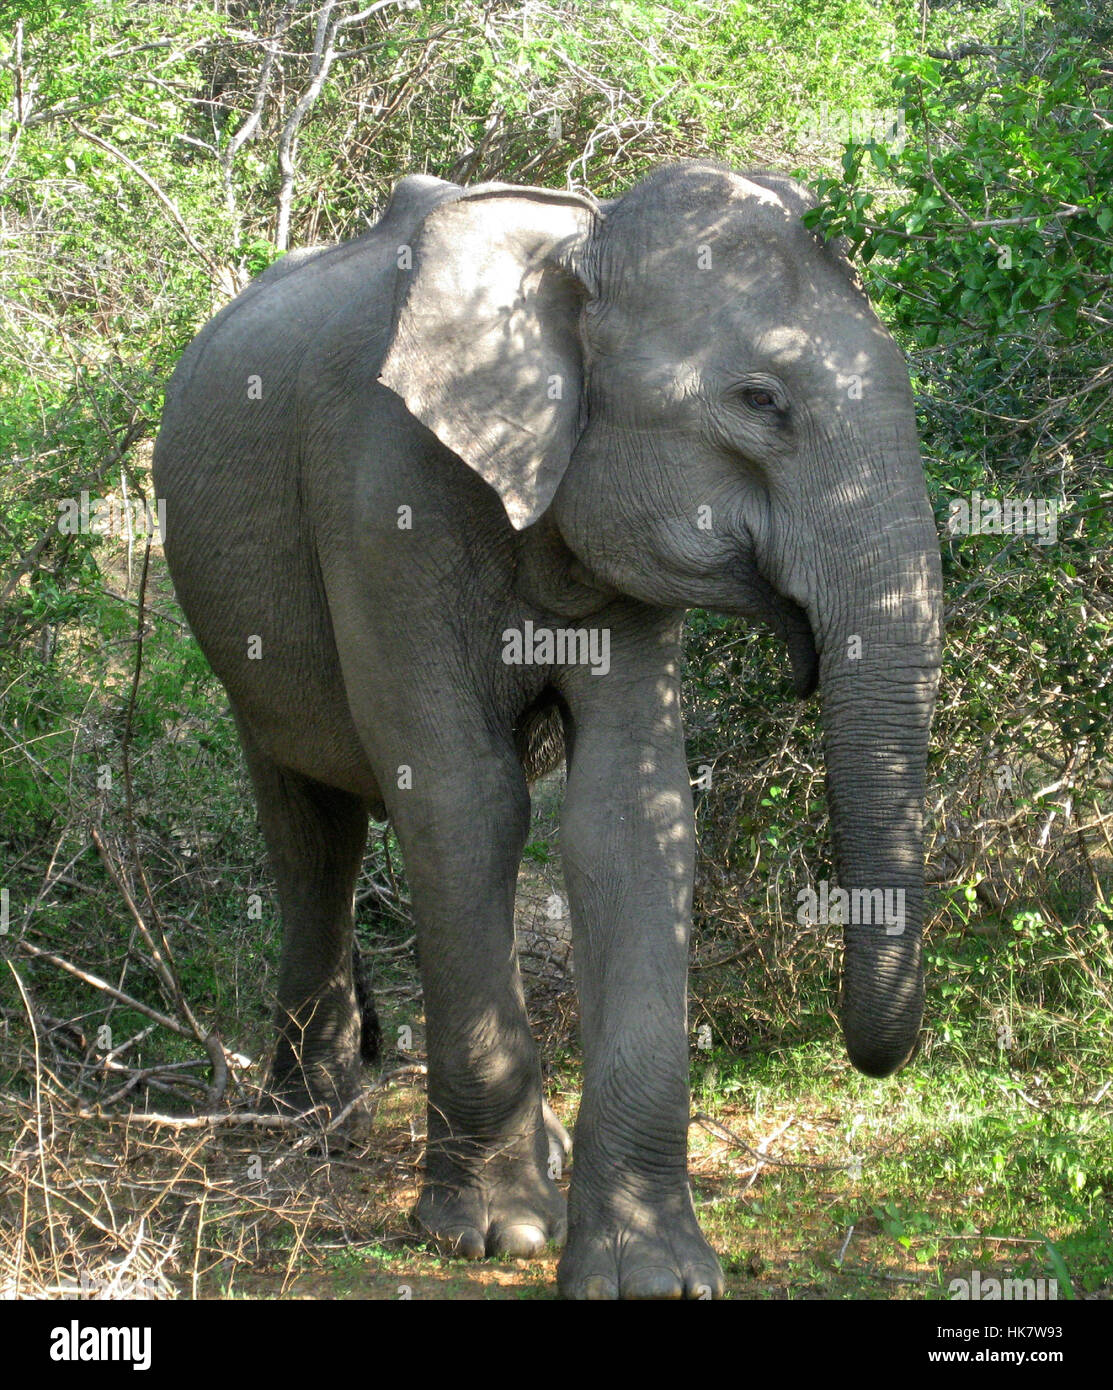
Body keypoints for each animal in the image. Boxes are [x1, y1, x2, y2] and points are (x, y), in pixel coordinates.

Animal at [152, 160, 943, 1300]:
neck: (576, 241)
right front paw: (495, 1233)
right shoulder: (380, 495)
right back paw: (315, 1116)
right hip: (236, 624)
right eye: (761, 402)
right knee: (311, 832)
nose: (868, 1055)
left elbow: (629, 817)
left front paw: (652, 1273)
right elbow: (463, 802)